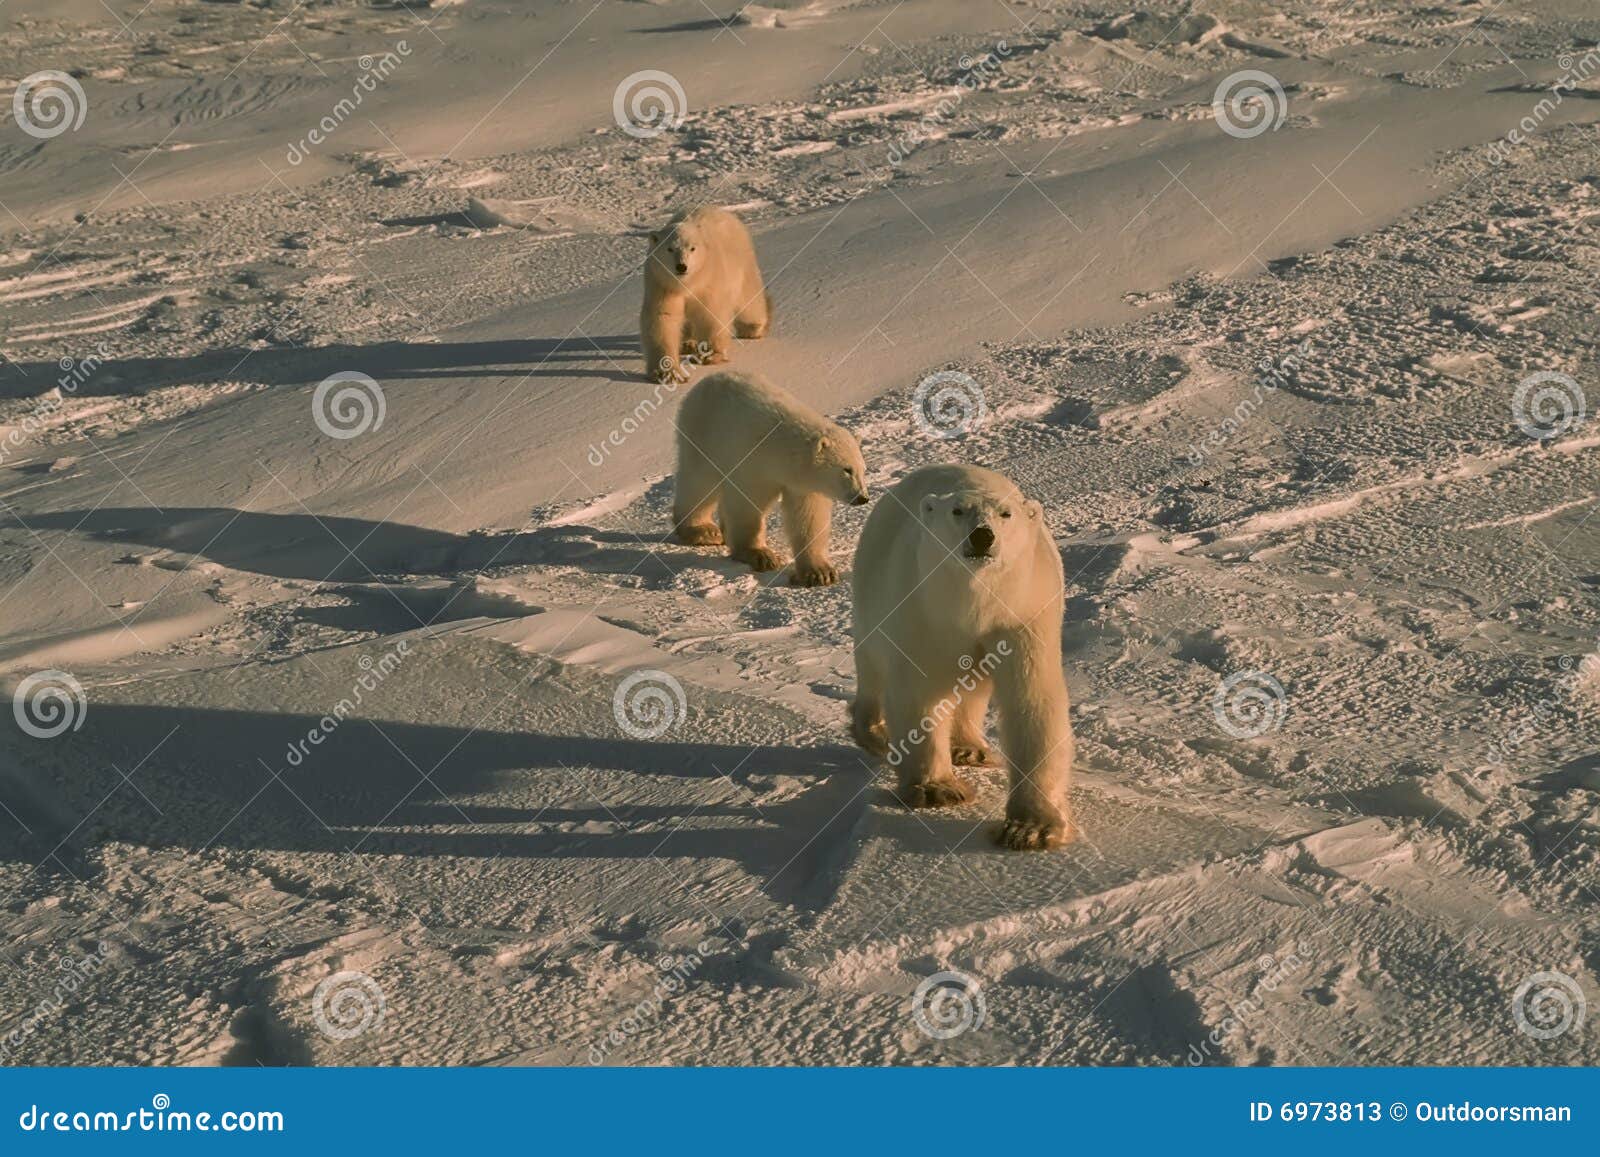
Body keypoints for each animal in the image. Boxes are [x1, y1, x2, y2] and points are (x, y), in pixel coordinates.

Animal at [641, 206, 770, 384]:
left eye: (692, 248)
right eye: (669, 249)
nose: (681, 266)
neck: (687, 283)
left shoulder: (709, 280)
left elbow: (710, 313)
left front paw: (710, 356)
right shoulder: (661, 282)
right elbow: (663, 318)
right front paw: (668, 373)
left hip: (742, 261)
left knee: (747, 296)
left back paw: (753, 328)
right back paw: (687, 343)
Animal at [673, 369, 869, 585]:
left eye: (863, 470)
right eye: (847, 469)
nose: (862, 498)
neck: (780, 449)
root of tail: (705, 381)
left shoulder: (802, 485)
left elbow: (809, 516)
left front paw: (820, 572)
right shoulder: (753, 464)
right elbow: (747, 505)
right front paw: (760, 555)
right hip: (703, 435)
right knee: (699, 481)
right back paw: (703, 530)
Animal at [850, 463, 1075, 850]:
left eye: (1006, 514)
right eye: (957, 511)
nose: (982, 536)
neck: (976, 600)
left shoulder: (1023, 612)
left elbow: (1032, 697)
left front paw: (1029, 828)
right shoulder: (922, 608)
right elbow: (919, 690)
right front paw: (937, 789)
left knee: (973, 686)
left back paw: (969, 747)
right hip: (872, 587)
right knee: (872, 664)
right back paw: (874, 731)